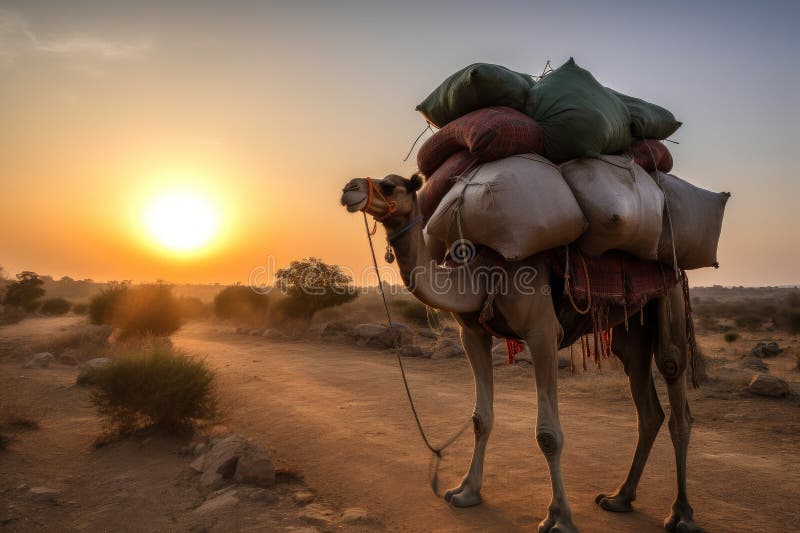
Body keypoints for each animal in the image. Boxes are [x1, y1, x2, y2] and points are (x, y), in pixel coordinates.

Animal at [340, 173, 701, 533]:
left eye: (390, 185)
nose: (349, 189)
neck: (482, 274)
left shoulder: (542, 332)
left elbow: (549, 435)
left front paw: (558, 517)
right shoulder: (472, 335)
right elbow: (480, 418)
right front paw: (466, 491)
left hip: (670, 296)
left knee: (674, 382)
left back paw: (681, 513)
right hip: (634, 328)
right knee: (646, 403)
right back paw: (620, 497)